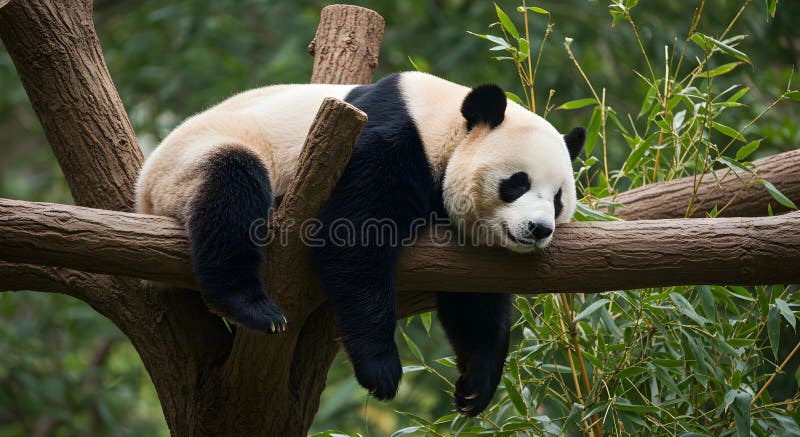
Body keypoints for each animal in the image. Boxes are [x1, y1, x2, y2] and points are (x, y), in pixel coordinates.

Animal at [136, 71, 585, 416]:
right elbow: (354, 237)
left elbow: (475, 303)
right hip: (187, 168)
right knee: (232, 187)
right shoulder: (388, 141)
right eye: (517, 183)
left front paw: (476, 386)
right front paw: (381, 370)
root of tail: (142, 193)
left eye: (558, 198)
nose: (538, 228)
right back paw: (251, 305)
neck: (444, 124)